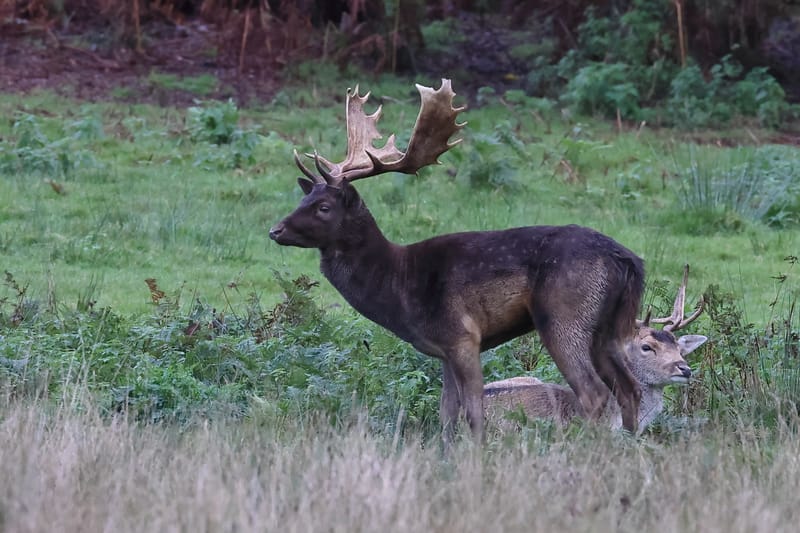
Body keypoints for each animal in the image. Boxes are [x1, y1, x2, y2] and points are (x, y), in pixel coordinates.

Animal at [269, 79, 645, 445]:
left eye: (324, 207)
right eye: (305, 198)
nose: (275, 230)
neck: (397, 284)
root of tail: (626, 259)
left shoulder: (462, 335)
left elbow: (473, 410)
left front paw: (475, 454)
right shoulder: (443, 350)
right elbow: (446, 412)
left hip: (563, 315)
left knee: (595, 393)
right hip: (609, 328)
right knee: (630, 389)